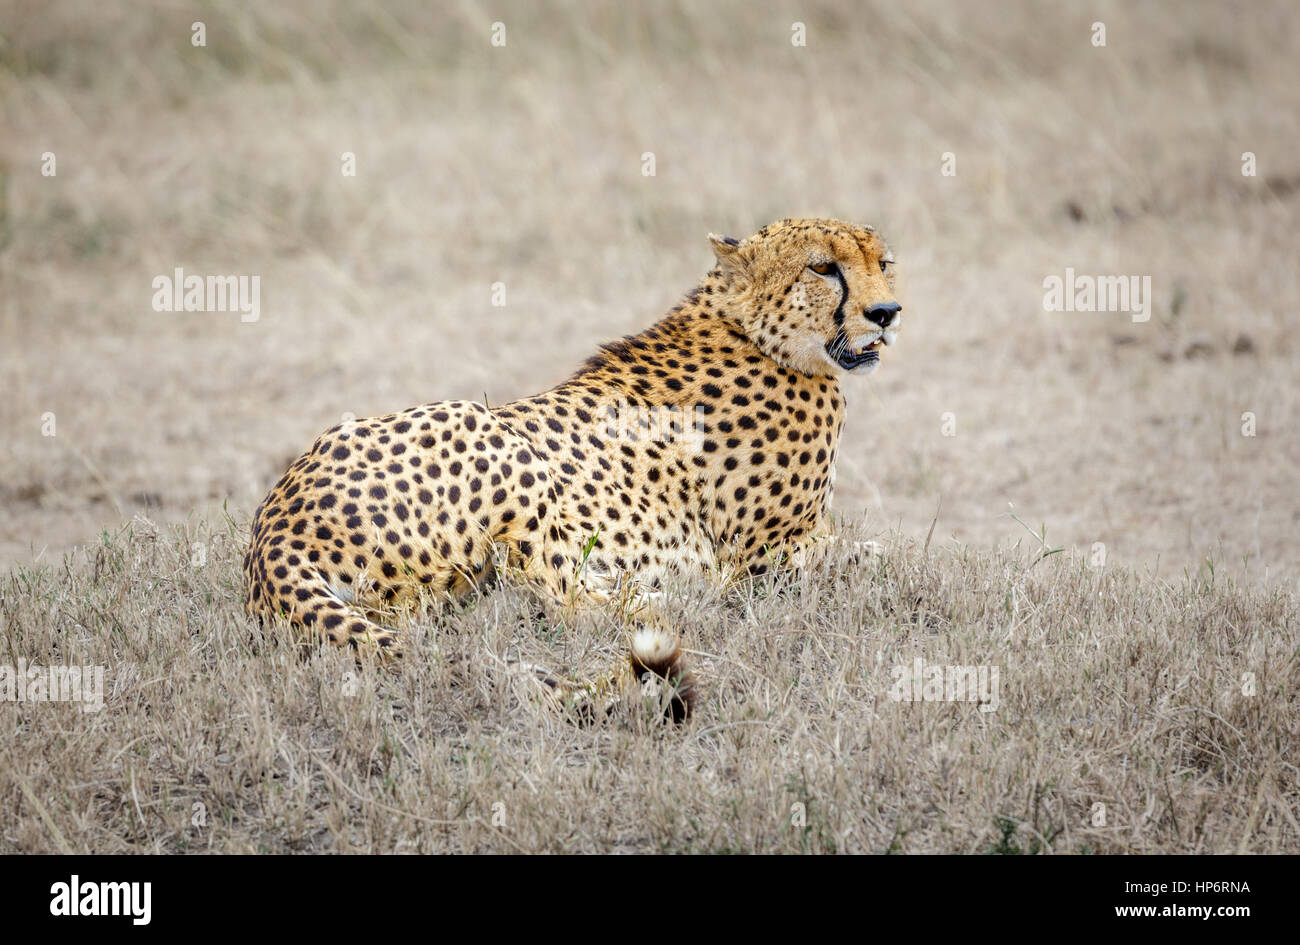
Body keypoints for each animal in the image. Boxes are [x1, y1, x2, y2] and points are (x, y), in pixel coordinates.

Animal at [242, 217, 903, 719]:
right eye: (823, 268)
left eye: (884, 261)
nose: (887, 312)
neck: (748, 328)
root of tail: (271, 528)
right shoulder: (769, 549)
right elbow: (875, 555)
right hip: (494, 438)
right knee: (566, 599)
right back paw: (682, 593)